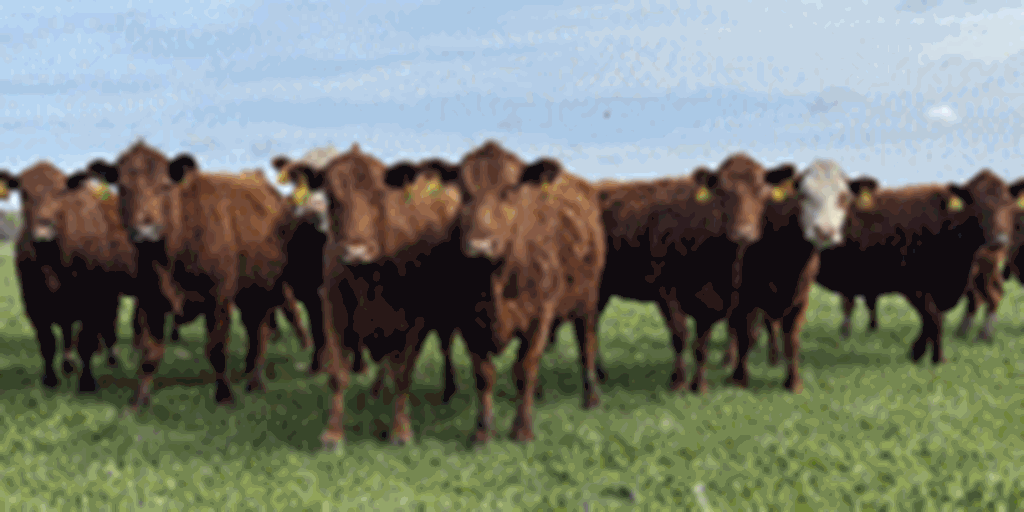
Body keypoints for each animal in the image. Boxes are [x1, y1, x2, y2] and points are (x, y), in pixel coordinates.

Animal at [86, 141, 295, 409]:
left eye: (165, 186)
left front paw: (225, 396)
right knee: (253, 331)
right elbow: (149, 353)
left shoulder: (219, 298)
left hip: (266, 291)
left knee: (261, 333)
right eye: (122, 188)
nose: (144, 231)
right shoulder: (149, 299)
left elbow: (217, 348)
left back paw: (255, 382)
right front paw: (138, 400)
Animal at [594, 153, 773, 394]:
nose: (743, 232)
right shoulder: (666, 291)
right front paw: (678, 382)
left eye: (761, 190)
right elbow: (680, 336)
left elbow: (707, 342)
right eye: (722, 192)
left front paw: (703, 384)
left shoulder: (722, 302)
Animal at [816, 170, 1014, 364]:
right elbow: (933, 318)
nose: (1000, 240)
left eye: (1006, 204)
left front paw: (920, 354)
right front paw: (934, 357)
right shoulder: (914, 286)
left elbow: (932, 319)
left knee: (989, 297)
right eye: (977, 204)